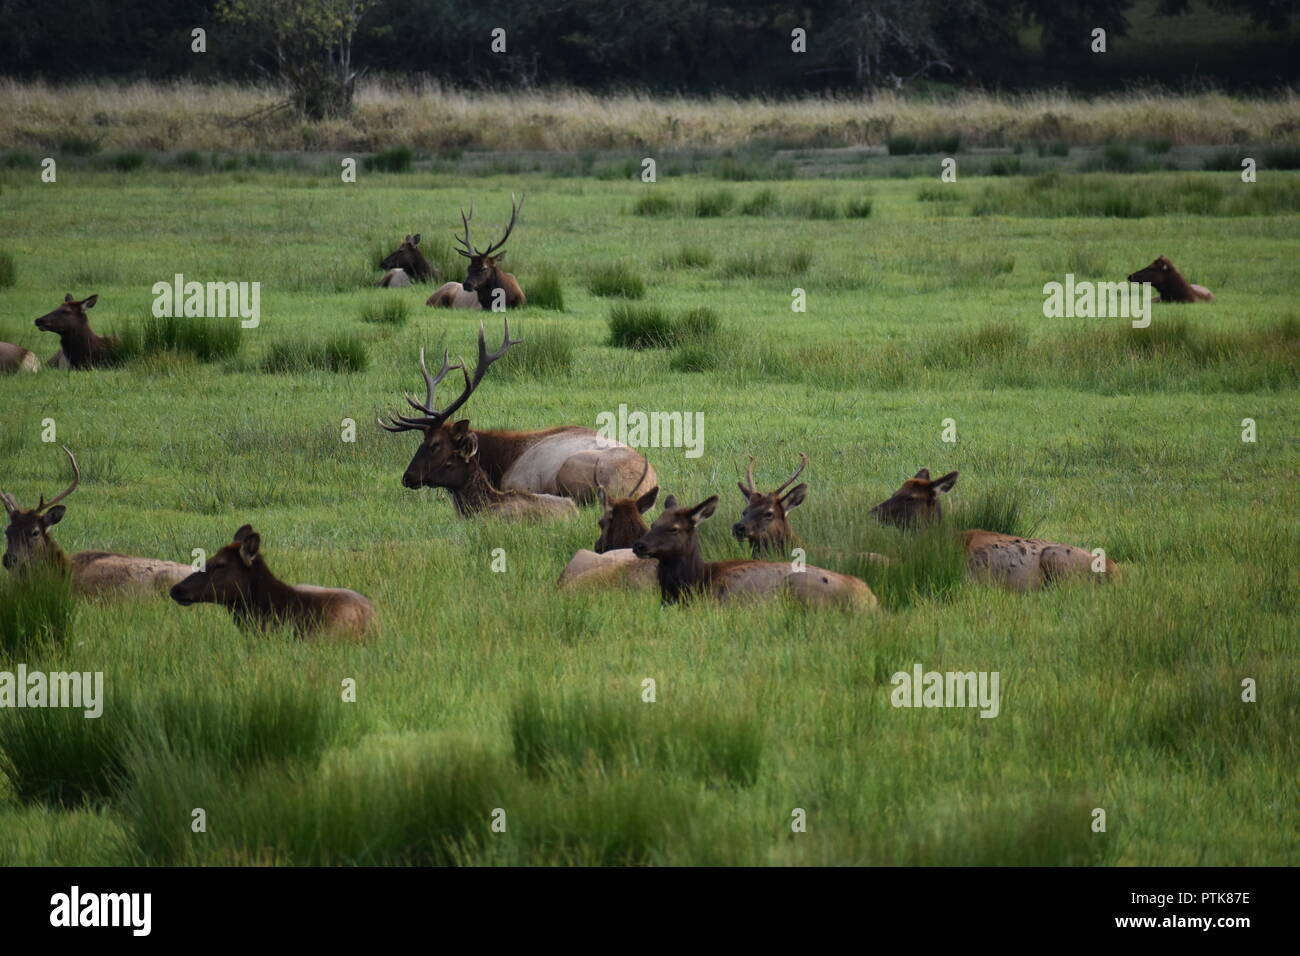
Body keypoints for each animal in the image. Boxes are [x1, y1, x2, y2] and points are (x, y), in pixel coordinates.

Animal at [379, 318, 654, 519]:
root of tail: (644, 484)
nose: (407, 477)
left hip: (575, 470)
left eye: (435, 444)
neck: (499, 460)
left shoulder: (520, 485)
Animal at [870, 468, 1119, 590]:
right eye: (895, 491)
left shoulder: (970, 577)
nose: (873, 511)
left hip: (1056, 558)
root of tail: (1116, 572)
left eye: (910, 497)